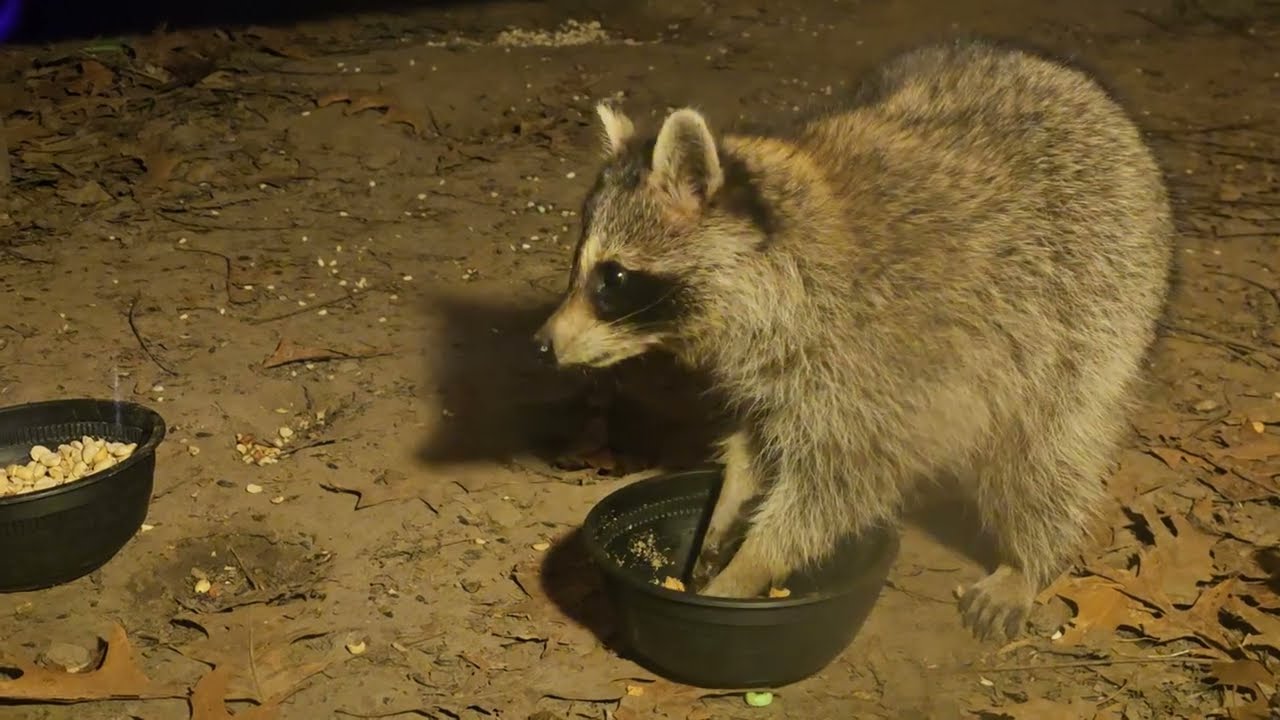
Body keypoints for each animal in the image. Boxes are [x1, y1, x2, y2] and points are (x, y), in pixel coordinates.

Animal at [535, 37, 1174, 640]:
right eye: (579, 265)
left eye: (613, 279)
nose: (542, 344)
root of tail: (1077, 85)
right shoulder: (774, 363)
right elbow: (759, 435)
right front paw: (731, 497)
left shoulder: (872, 365)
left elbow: (839, 485)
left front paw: (749, 567)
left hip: (1096, 306)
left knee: (1048, 450)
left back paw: (1028, 559)